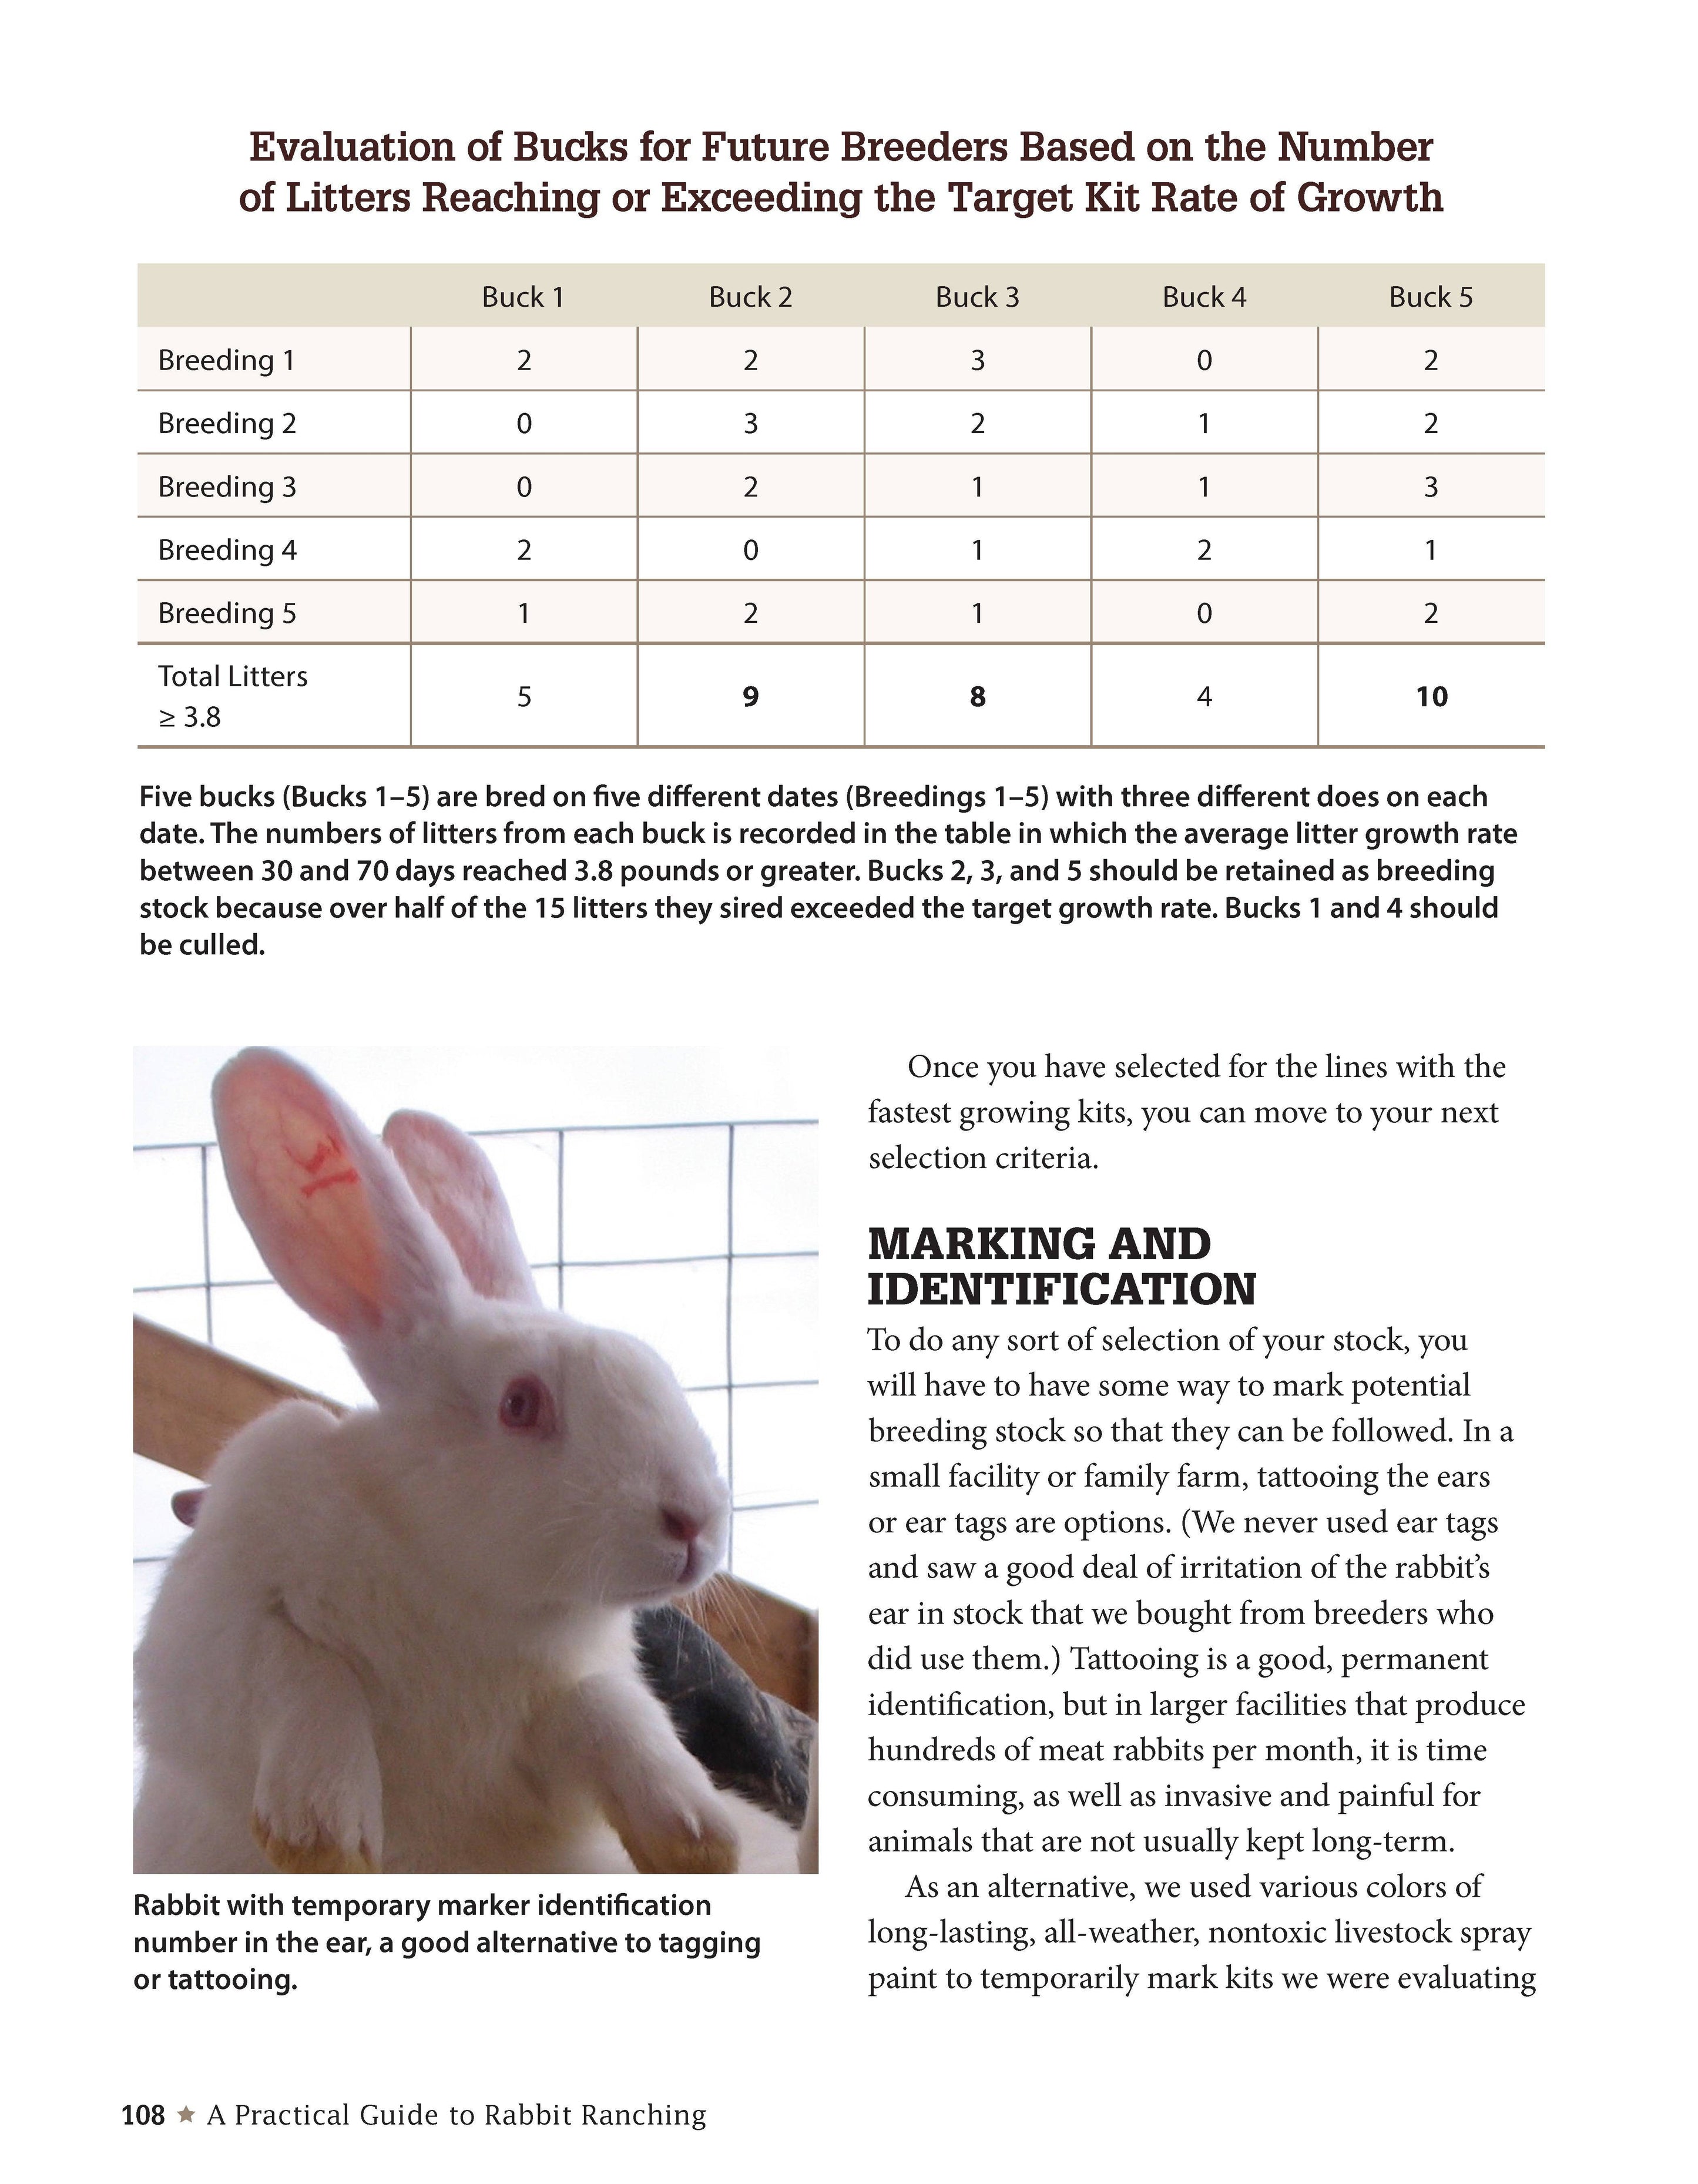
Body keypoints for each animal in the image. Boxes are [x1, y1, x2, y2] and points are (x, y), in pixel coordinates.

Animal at [134, 1047, 755, 1876]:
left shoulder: (562, 1711)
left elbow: (605, 1709)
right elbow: (300, 1669)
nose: (695, 1522)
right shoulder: (214, 1628)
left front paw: (694, 1831)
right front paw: (322, 1831)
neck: (451, 1580)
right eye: (520, 1404)